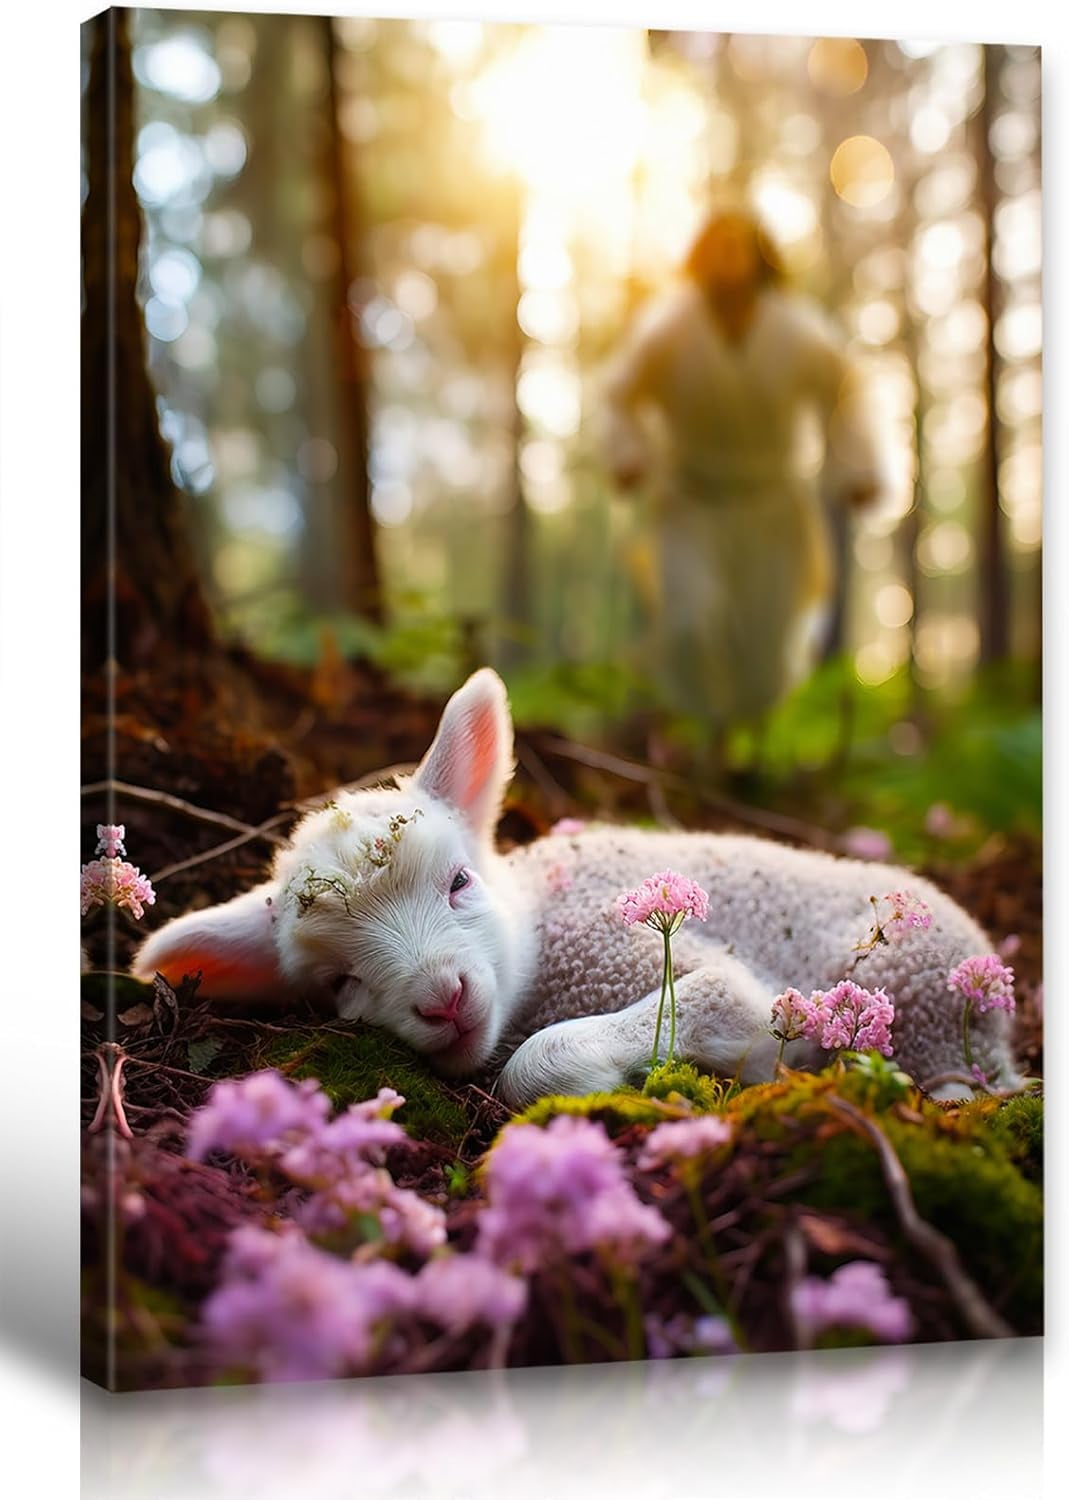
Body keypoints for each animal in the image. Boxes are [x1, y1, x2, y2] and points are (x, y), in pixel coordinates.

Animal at [132, 668, 1019, 1107]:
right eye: (339, 983)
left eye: (458, 881)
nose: (442, 999)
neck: (546, 939)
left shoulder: (685, 965)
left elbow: (542, 1060)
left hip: (919, 991)